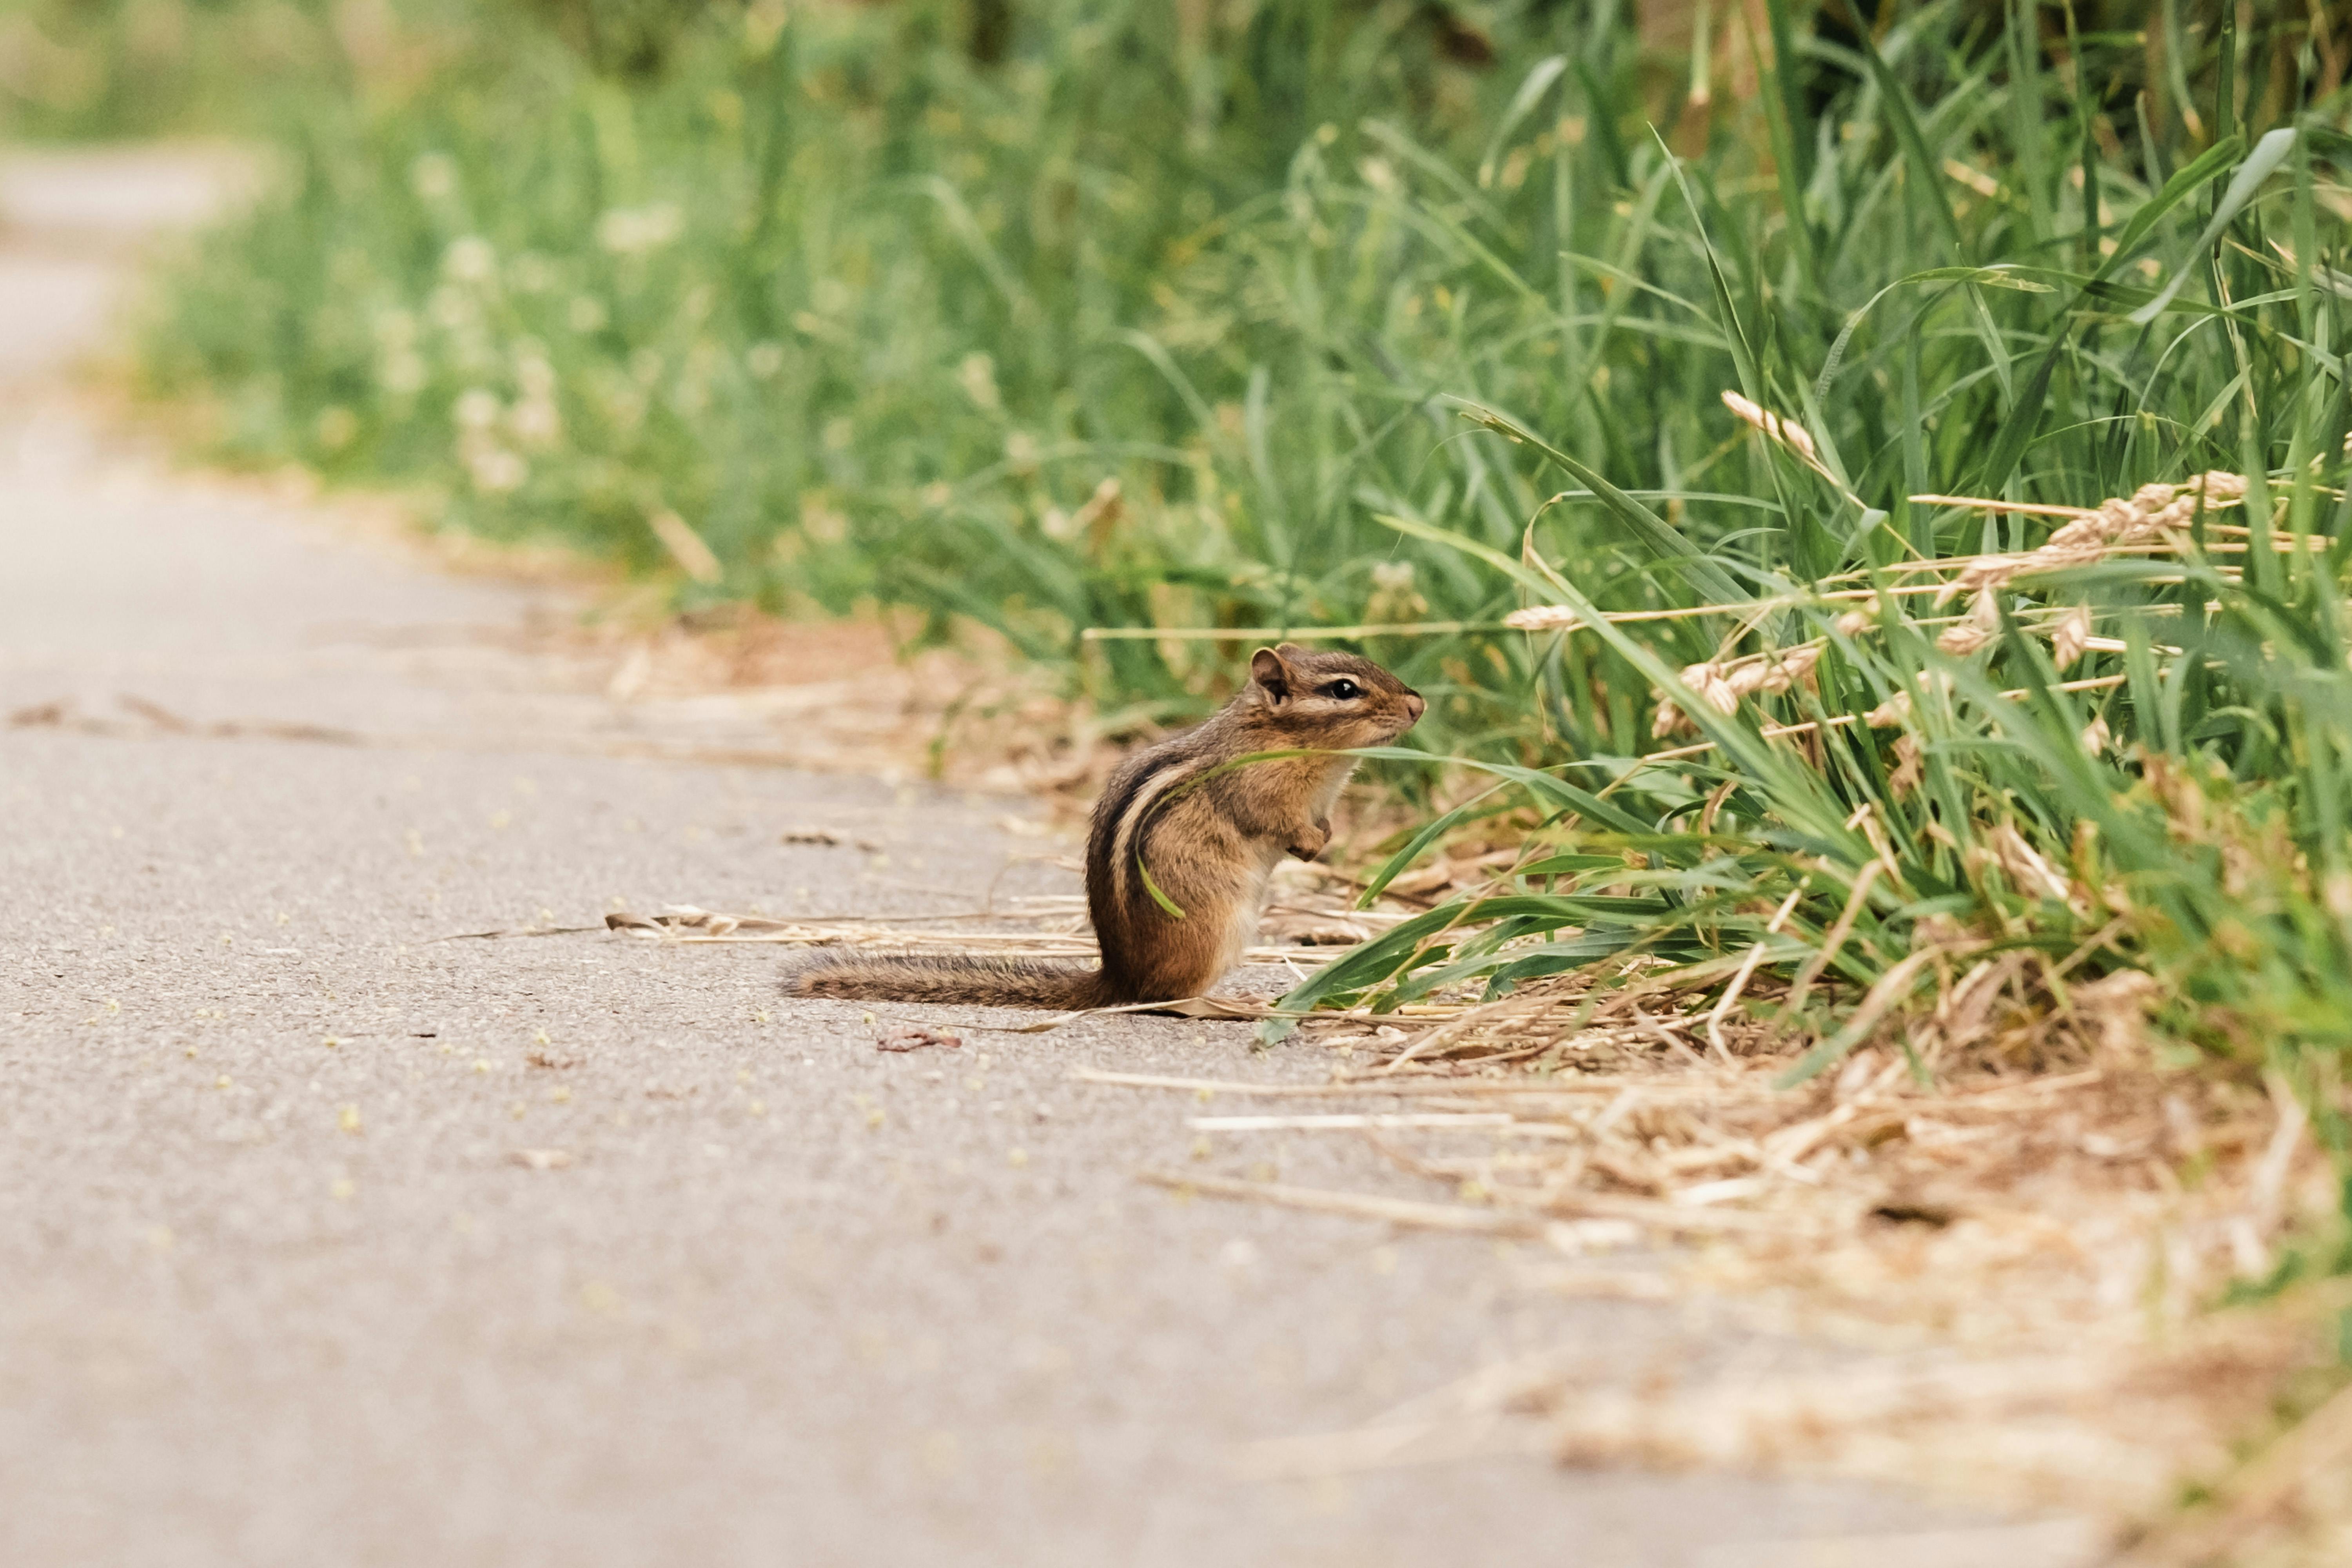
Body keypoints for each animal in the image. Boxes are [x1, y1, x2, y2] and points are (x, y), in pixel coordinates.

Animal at [792, 643, 1424, 1010]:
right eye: (1344, 689)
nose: (1418, 704)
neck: (1283, 736)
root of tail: (1119, 978)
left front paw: (1329, 838)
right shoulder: (1262, 793)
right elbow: (1275, 821)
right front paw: (1312, 845)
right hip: (1214, 932)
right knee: (1167, 999)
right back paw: (1232, 1004)